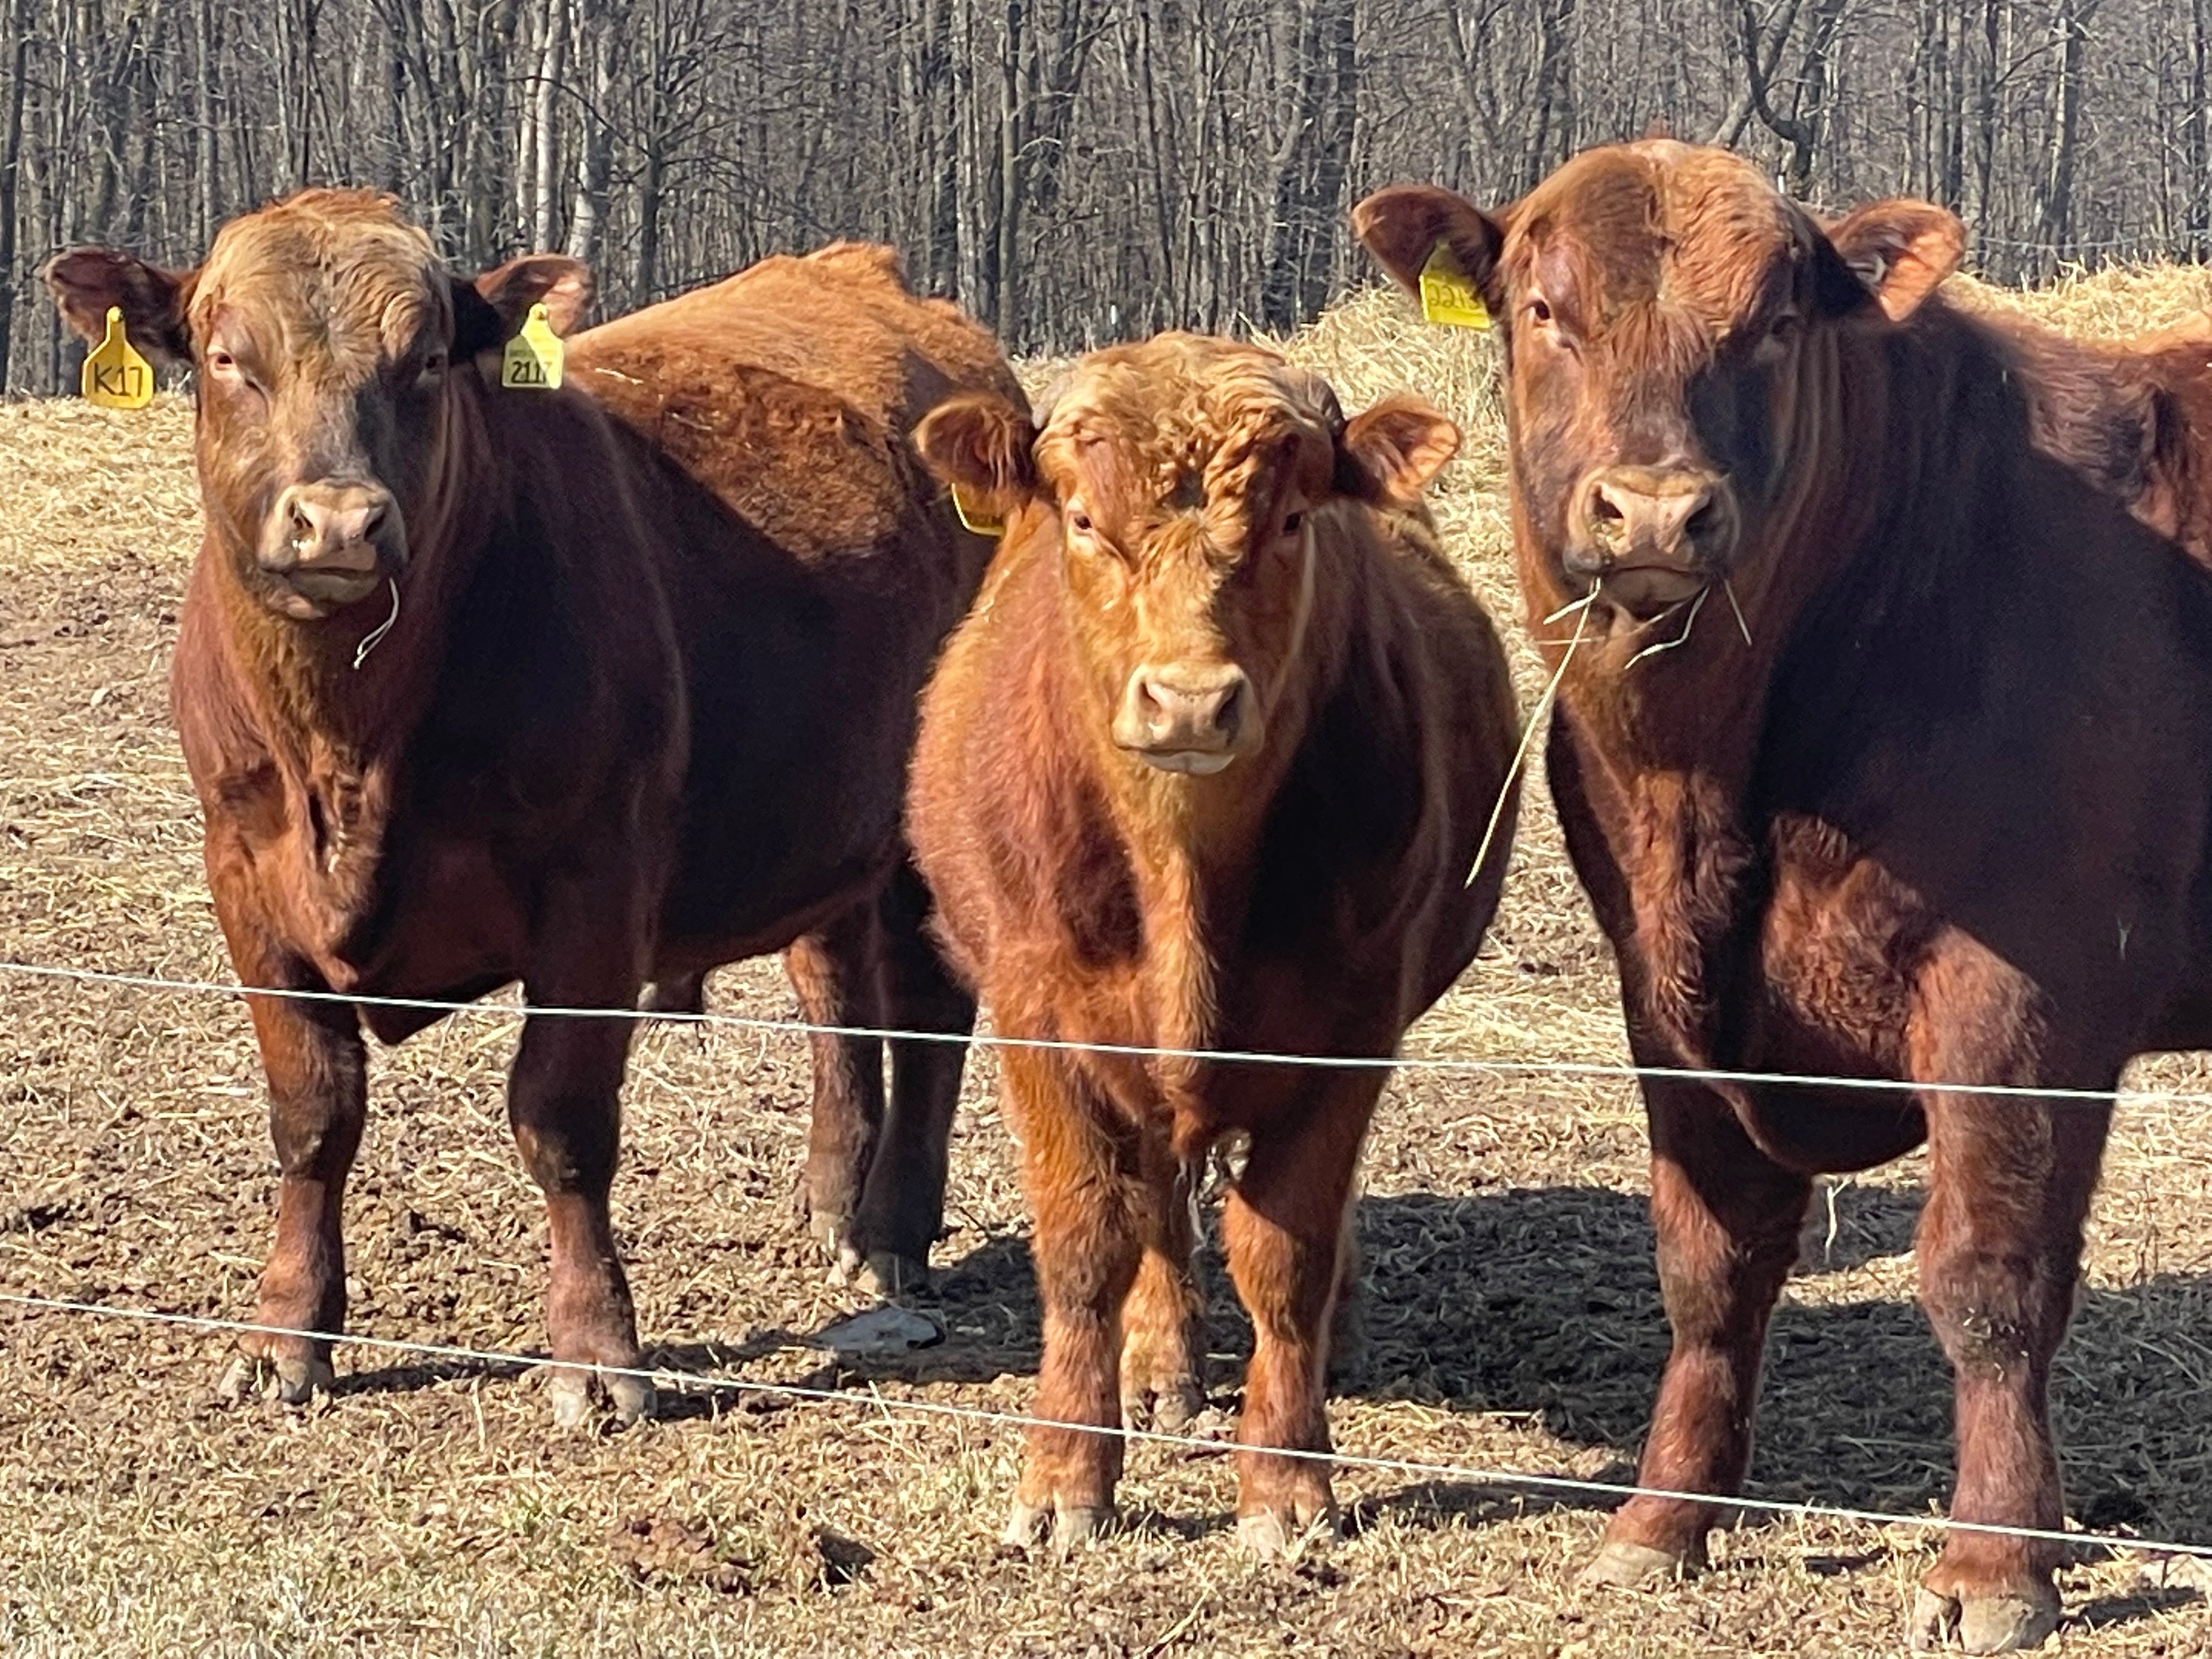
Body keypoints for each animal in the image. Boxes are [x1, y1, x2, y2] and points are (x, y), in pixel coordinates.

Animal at [43, 192, 1018, 1425]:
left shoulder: (594, 883)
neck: (348, 744)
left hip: (922, 821)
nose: (338, 522)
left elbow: (560, 1119)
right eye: (228, 359)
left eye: (424, 361)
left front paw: (597, 1352)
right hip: (818, 812)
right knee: (836, 991)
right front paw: (286, 1335)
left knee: (930, 1003)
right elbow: (312, 1113)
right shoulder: (245, 874)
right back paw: (834, 1205)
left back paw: (892, 1230)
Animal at [906, 334, 1522, 1553]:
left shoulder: (1350, 1026)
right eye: (1083, 519)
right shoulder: (1036, 1018)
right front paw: (1065, 1476)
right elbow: (1085, 1245)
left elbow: (1285, 1254)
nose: (1189, 703)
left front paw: (1285, 1483)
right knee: (1155, 1195)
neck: (1179, 872)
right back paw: (1158, 1365)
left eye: (1290, 521)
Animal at [1354, 141, 2212, 1652]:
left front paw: (1995, 1566)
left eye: (1775, 322)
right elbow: (1710, 1265)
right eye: (1542, 310)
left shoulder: (2021, 999)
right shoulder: (1662, 997)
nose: (1652, 509)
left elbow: (1990, 1280)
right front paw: (1659, 1525)